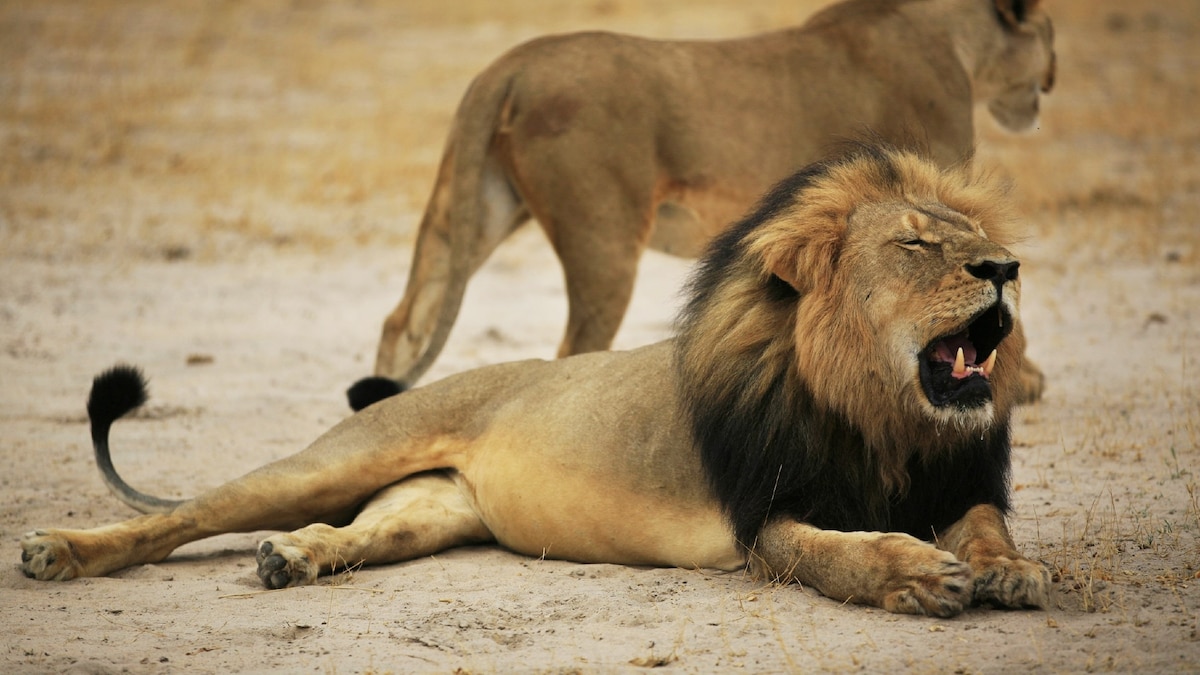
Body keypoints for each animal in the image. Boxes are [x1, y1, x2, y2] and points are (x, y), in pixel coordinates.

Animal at [21, 145, 1049, 617]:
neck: (883, 417)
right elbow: (839, 553)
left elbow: (987, 525)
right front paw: (916, 573)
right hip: (335, 459)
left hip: (429, 509)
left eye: (973, 237)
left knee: (352, 531)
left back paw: (294, 559)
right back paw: (59, 551)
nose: (1006, 267)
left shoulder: (954, 479)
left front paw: (1010, 570)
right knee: (180, 518)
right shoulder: (765, 517)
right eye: (917, 246)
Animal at [354, 0, 1056, 410]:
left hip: (472, 211)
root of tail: (510, 64)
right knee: (572, 349)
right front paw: (1020, 381)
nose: (1051, 75)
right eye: (1049, 30)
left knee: (402, 317)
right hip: (603, 240)